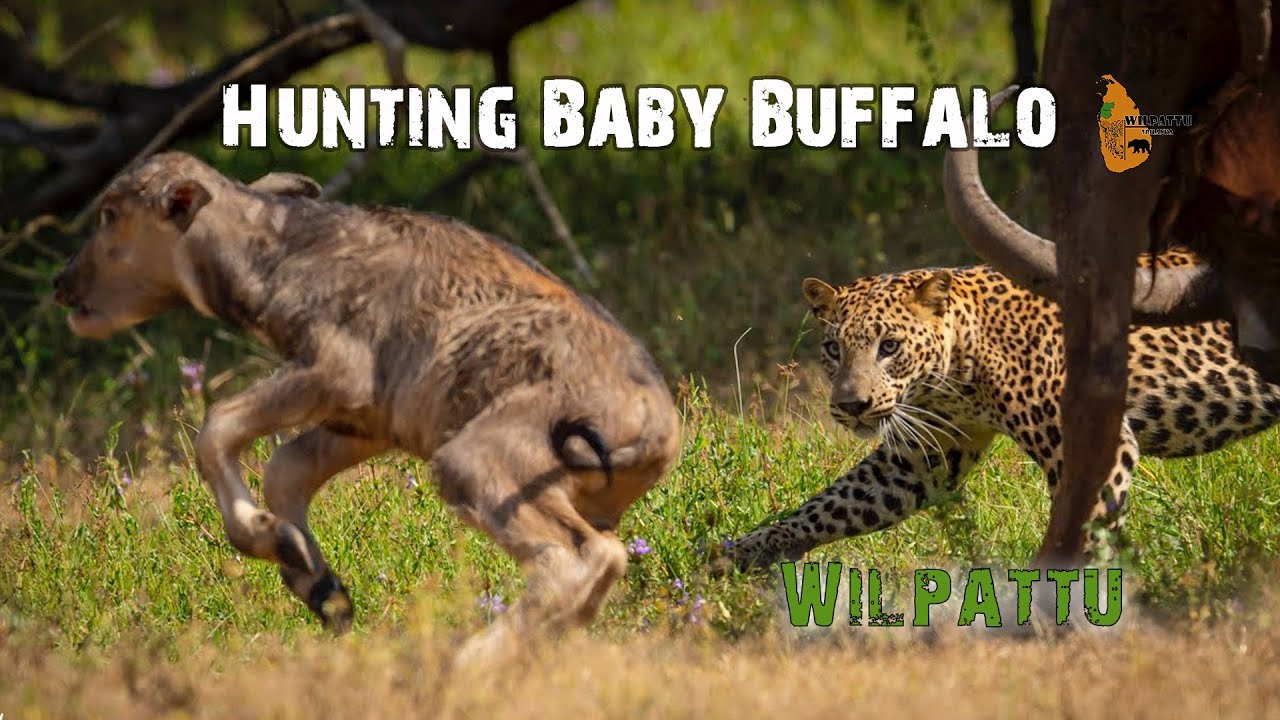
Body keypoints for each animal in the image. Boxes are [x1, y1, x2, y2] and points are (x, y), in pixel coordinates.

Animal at [722, 251, 1280, 571]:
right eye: (834, 348)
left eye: (889, 346)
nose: (851, 406)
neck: (955, 370)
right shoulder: (922, 458)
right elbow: (834, 503)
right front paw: (748, 550)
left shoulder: (1094, 443)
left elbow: (1080, 529)